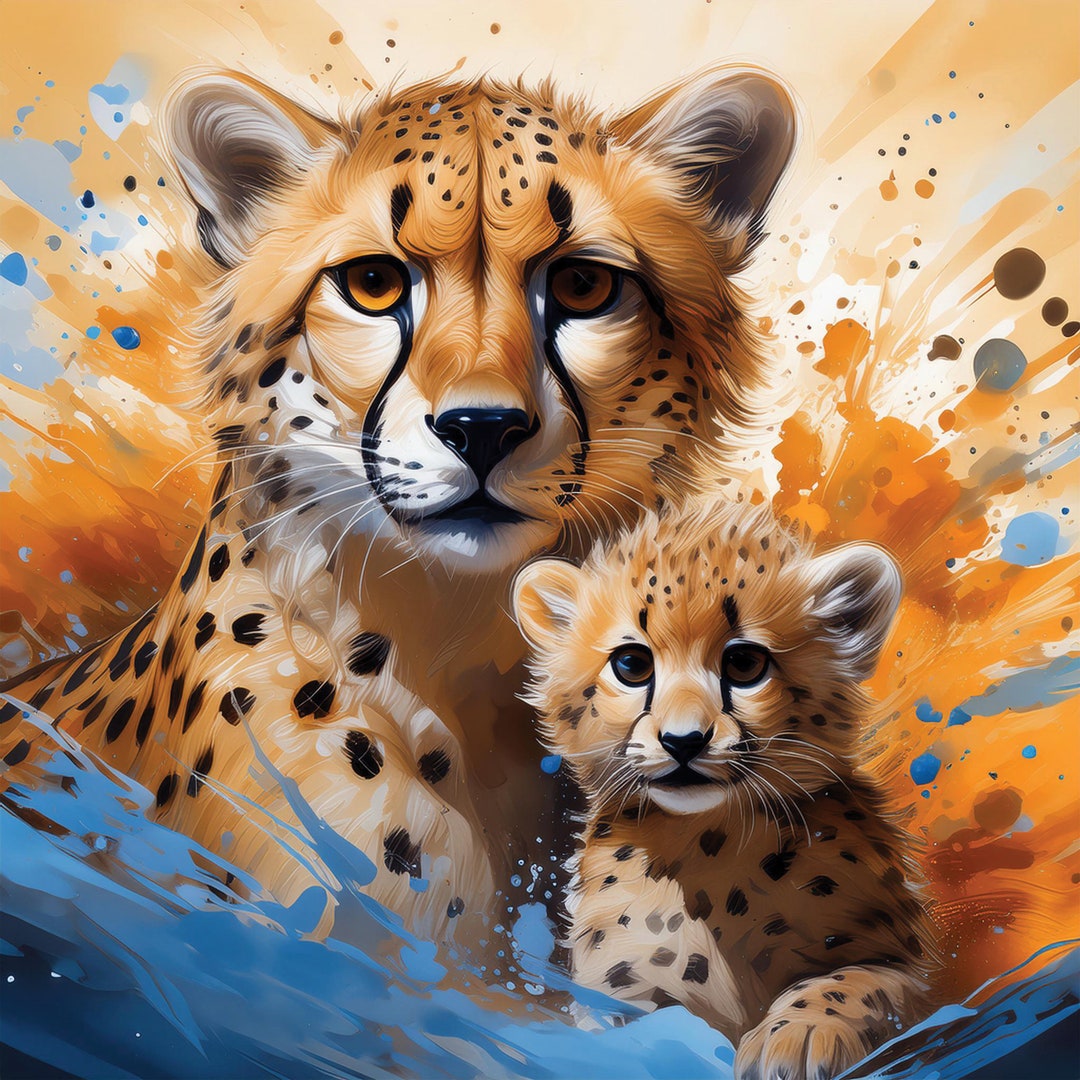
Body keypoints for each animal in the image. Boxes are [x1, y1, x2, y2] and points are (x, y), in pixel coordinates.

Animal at [513, 499, 937, 1079]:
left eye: (744, 663)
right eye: (632, 664)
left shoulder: (903, 964)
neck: (706, 847)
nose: (683, 740)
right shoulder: (621, 990)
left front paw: (799, 1035)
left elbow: (851, 982)